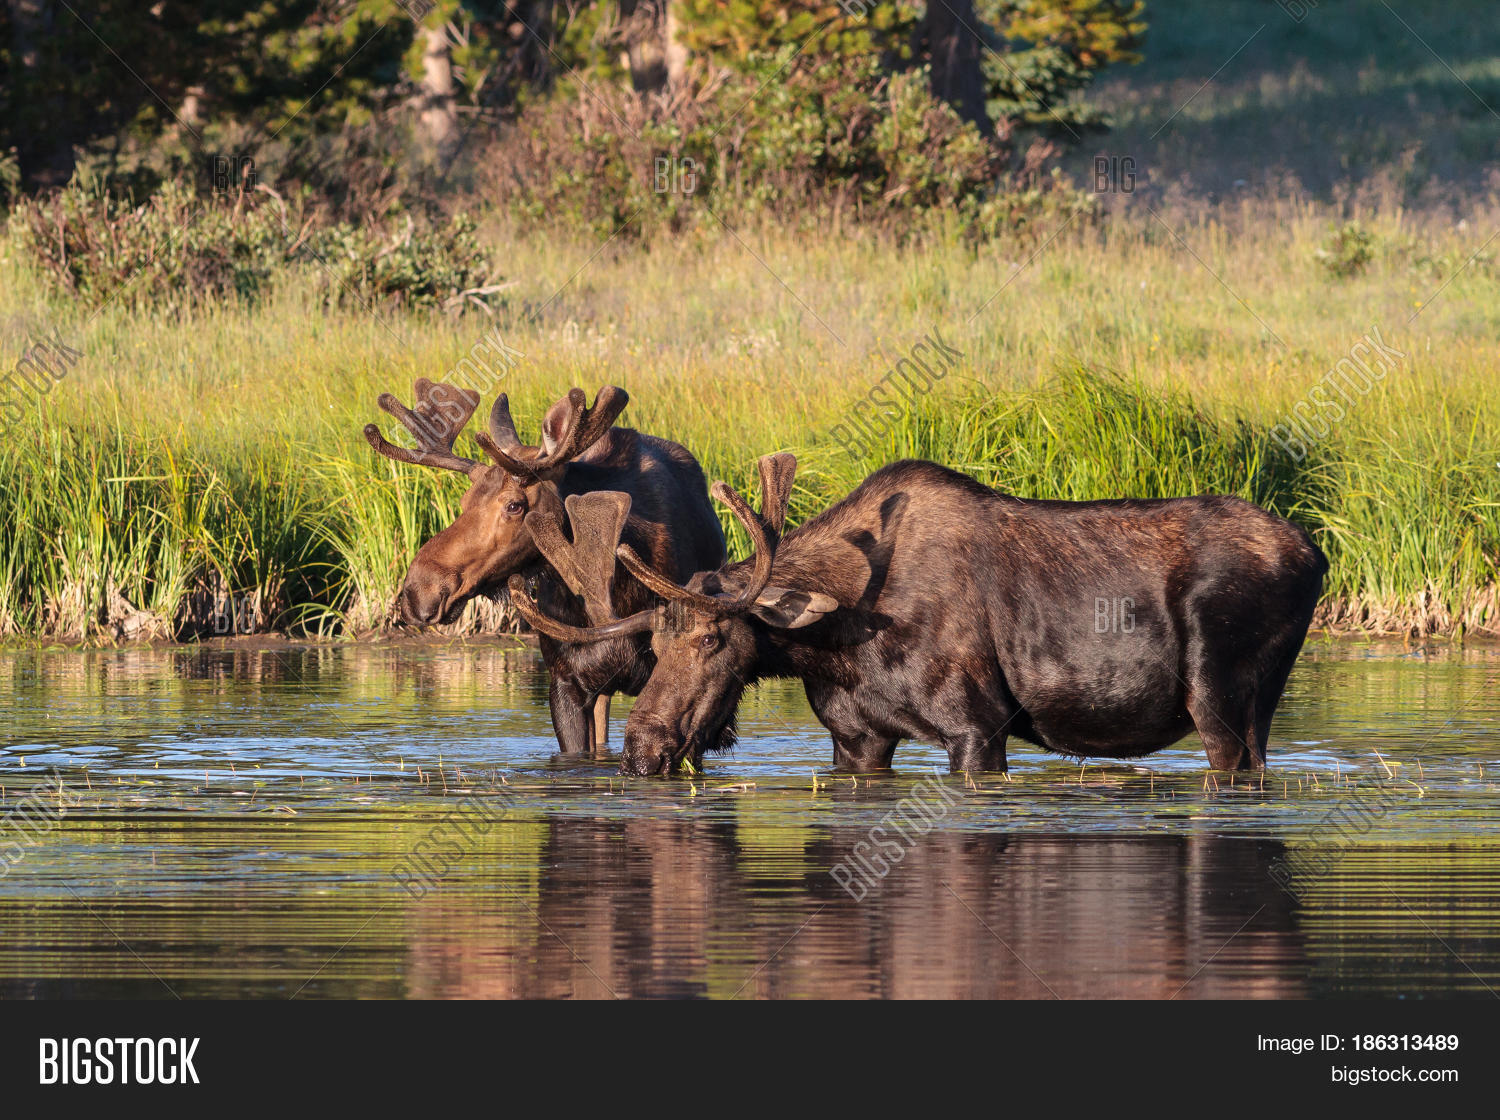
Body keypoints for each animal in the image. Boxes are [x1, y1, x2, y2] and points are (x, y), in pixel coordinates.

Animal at [508, 454, 1328, 776]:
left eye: (713, 638)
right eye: (653, 644)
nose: (639, 753)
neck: (834, 640)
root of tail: (1316, 556)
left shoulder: (977, 725)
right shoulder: (857, 737)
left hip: (1218, 692)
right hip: (1261, 702)